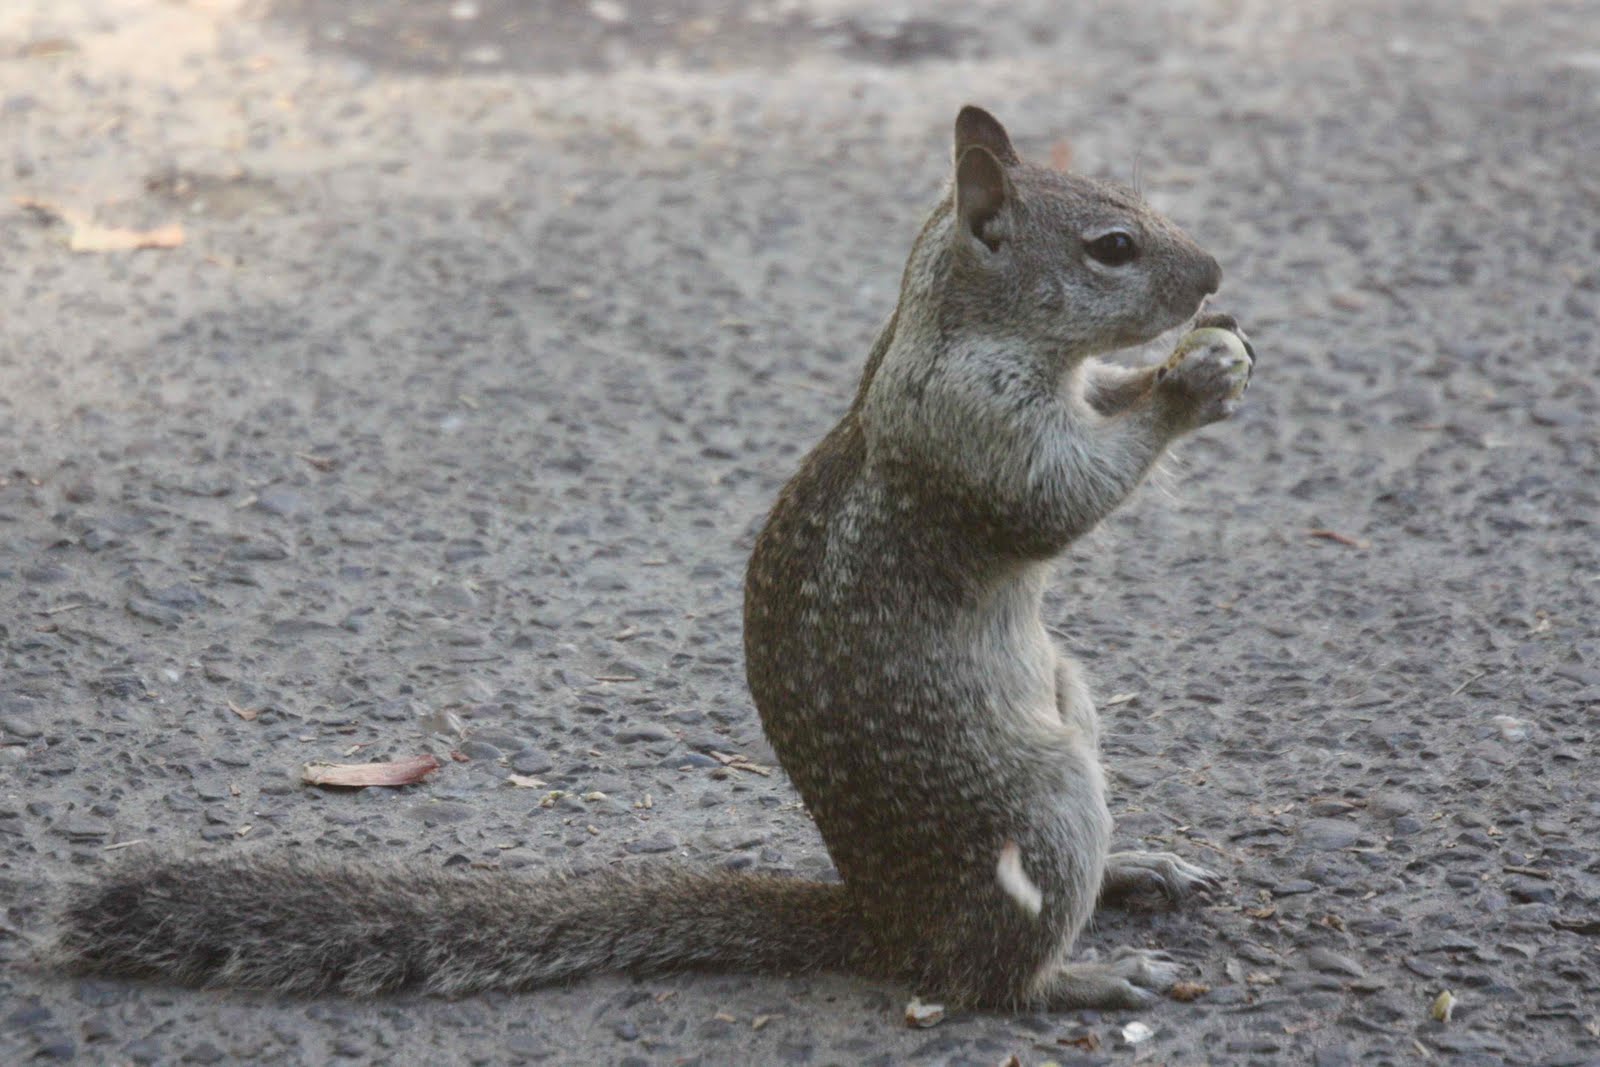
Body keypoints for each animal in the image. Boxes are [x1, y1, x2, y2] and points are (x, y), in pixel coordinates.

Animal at [54, 106, 1254, 1011]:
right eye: (1111, 246)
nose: (1213, 274)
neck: (963, 329)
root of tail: (879, 922)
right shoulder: (970, 430)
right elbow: (1056, 496)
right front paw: (1189, 384)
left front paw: (1195, 360)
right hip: (1036, 814)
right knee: (978, 980)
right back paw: (1086, 975)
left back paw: (1135, 870)